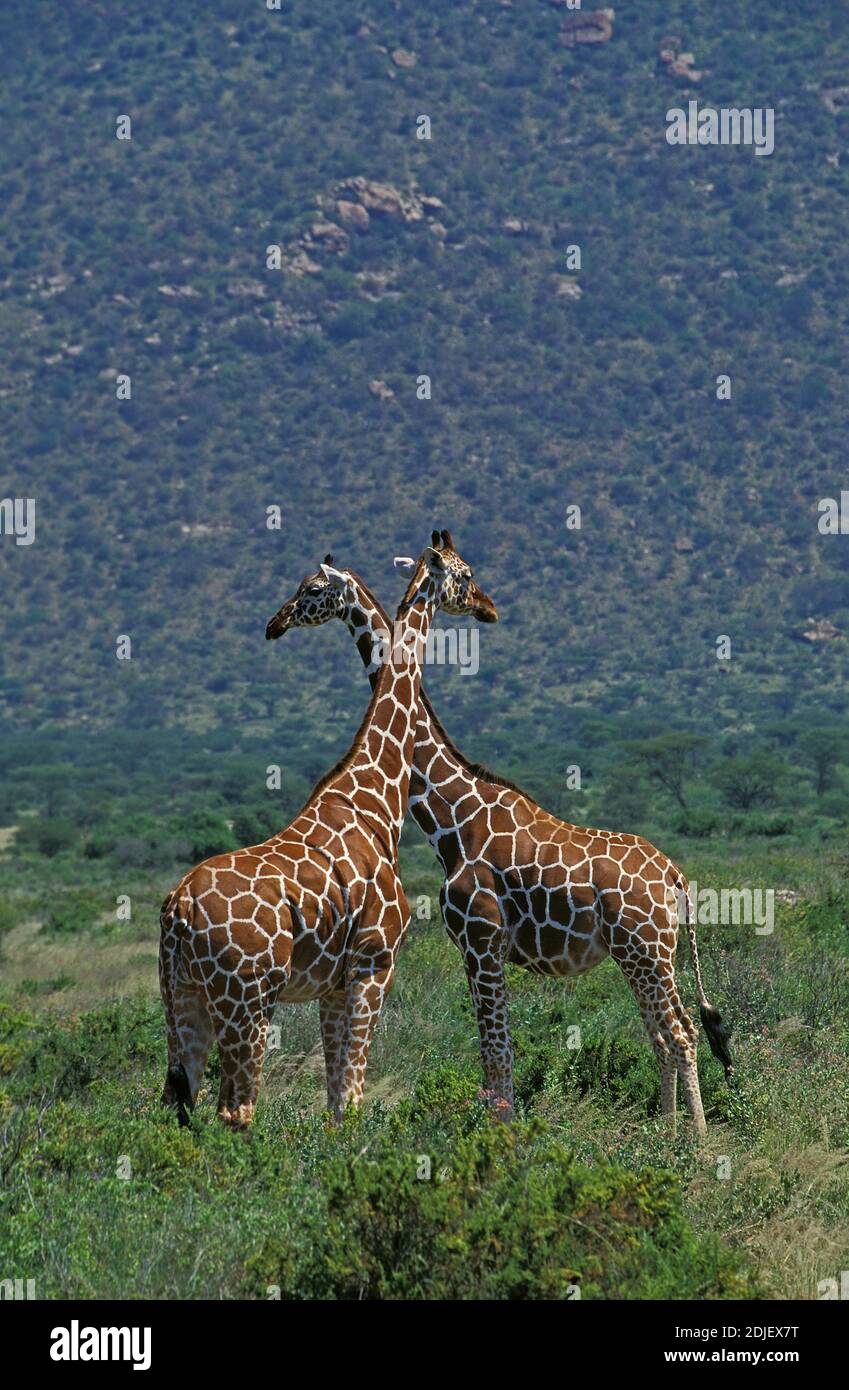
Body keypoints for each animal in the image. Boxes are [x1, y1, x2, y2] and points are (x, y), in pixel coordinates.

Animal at [158, 538, 498, 1130]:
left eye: (308, 588)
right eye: (464, 574)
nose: (274, 623)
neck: (376, 796)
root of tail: (179, 911)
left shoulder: (332, 984)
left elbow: (336, 1101)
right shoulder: (374, 961)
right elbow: (355, 1096)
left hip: (180, 999)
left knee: (181, 1105)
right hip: (247, 998)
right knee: (236, 1110)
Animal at [272, 531, 732, 1138]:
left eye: (311, 589)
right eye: (467, 577)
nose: (274, 623)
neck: (451, 819)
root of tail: (676, 875)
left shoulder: (482, 940)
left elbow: (497, 1051)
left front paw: (504, 1138)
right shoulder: (476, 948)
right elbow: (494, 1051)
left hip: (646, 950)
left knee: (680, 1032)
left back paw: (695, 1142)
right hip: (645, 953)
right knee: (663, 1031)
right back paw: (668, 1131)